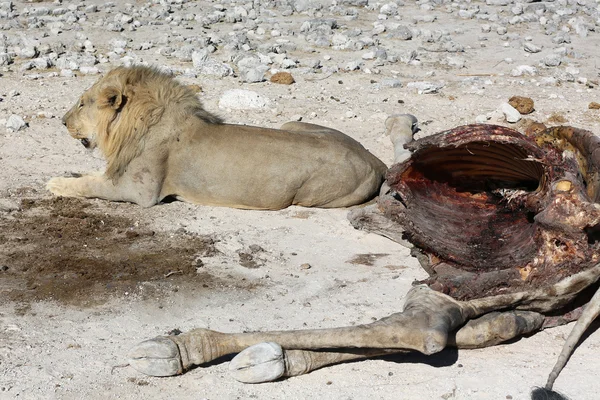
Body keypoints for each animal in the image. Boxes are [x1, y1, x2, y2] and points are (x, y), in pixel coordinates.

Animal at [47, 65, 386, 209]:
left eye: (81, 103)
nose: (62, 121)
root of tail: (375, 160)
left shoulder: (139, 191)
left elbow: (89, 184)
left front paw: (54, 183)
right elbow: (88, 176)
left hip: (307, 197)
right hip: (292, 123)